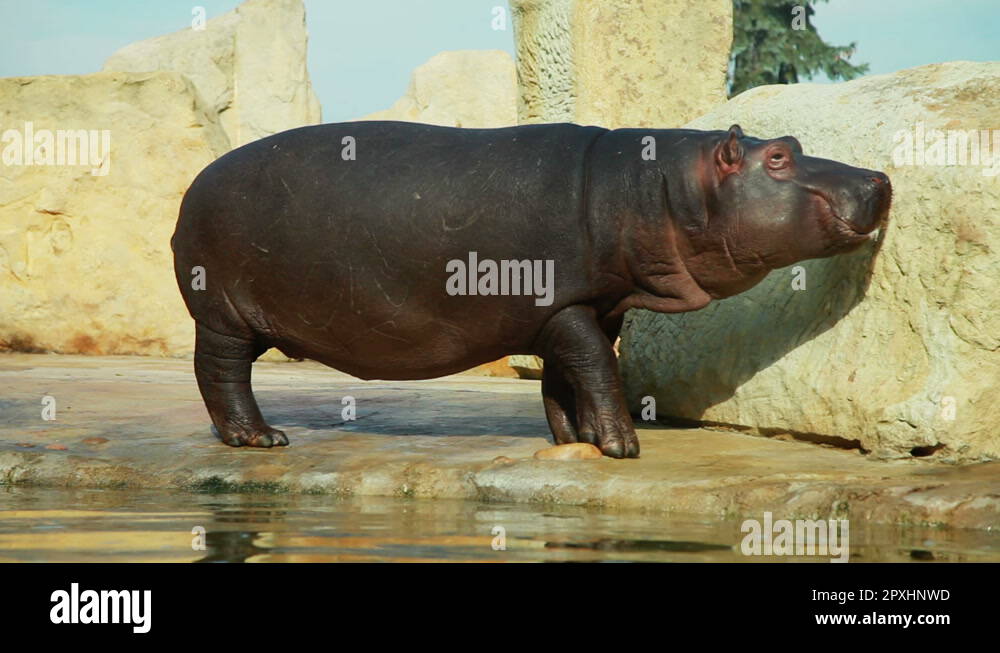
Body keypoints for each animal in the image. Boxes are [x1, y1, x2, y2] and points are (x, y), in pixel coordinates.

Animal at [172, 121, 891, 458]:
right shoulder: (566, 305)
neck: (659, 189)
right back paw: (260, 439)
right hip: (224, 316)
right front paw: (622, 446)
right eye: (778, 159)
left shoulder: (584, 307)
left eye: (791, 143)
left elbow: (567, 376)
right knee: (220, 373)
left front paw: (577, 439)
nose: (880, 178)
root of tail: (191, 187)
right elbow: (598, 368)